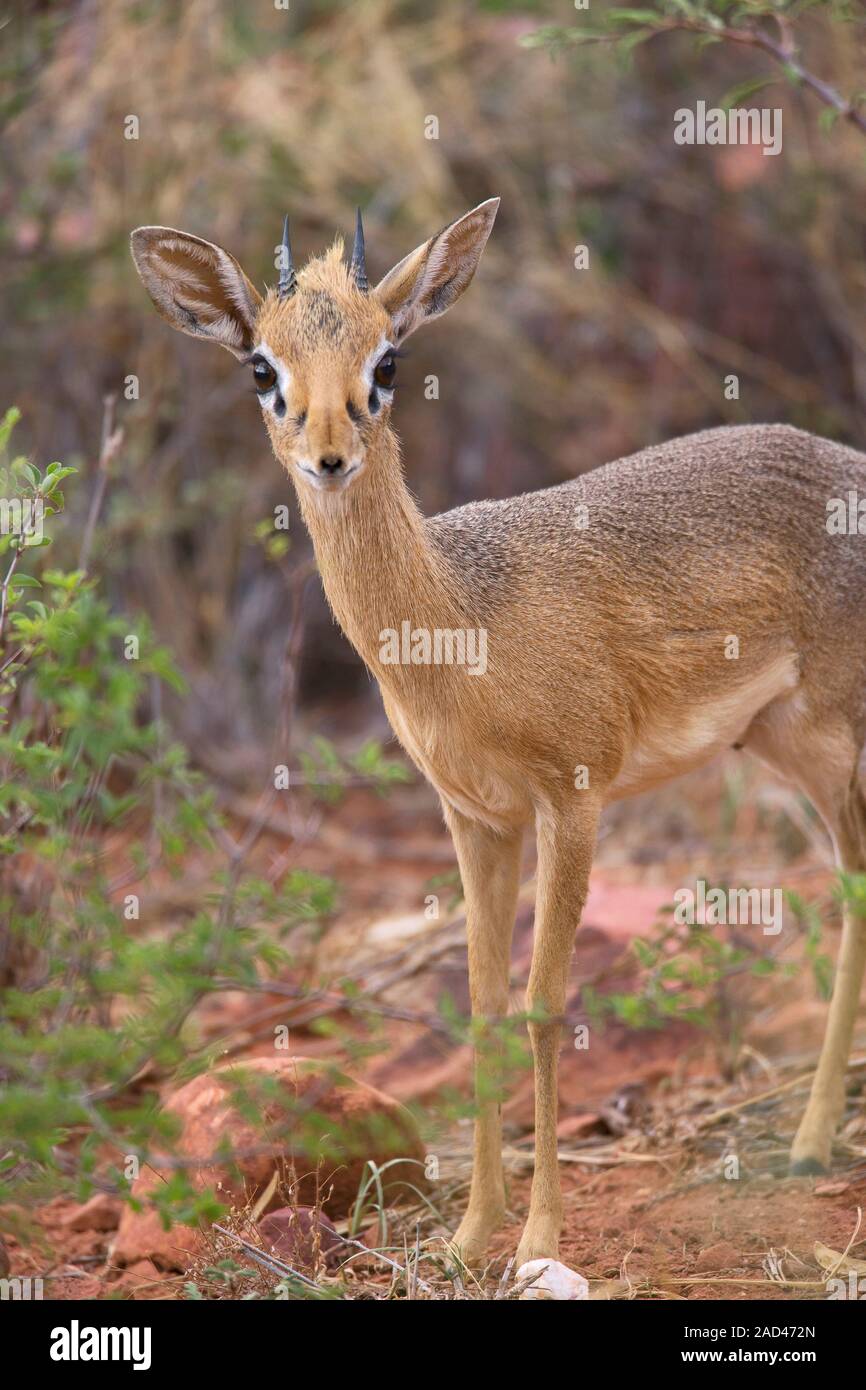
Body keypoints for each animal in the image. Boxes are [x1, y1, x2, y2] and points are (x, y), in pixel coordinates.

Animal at [132, 201, 866, 1269]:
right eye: (261, 367)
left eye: (389, 359)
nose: (329, 456)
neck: (459, 616)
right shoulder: (476, 818)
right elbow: (477, 1008)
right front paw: (470, 1234)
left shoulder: (574, 797)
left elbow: (543, 1004)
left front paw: (540, 1238)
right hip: (790, 748)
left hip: (834, 739)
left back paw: (810, 1143)